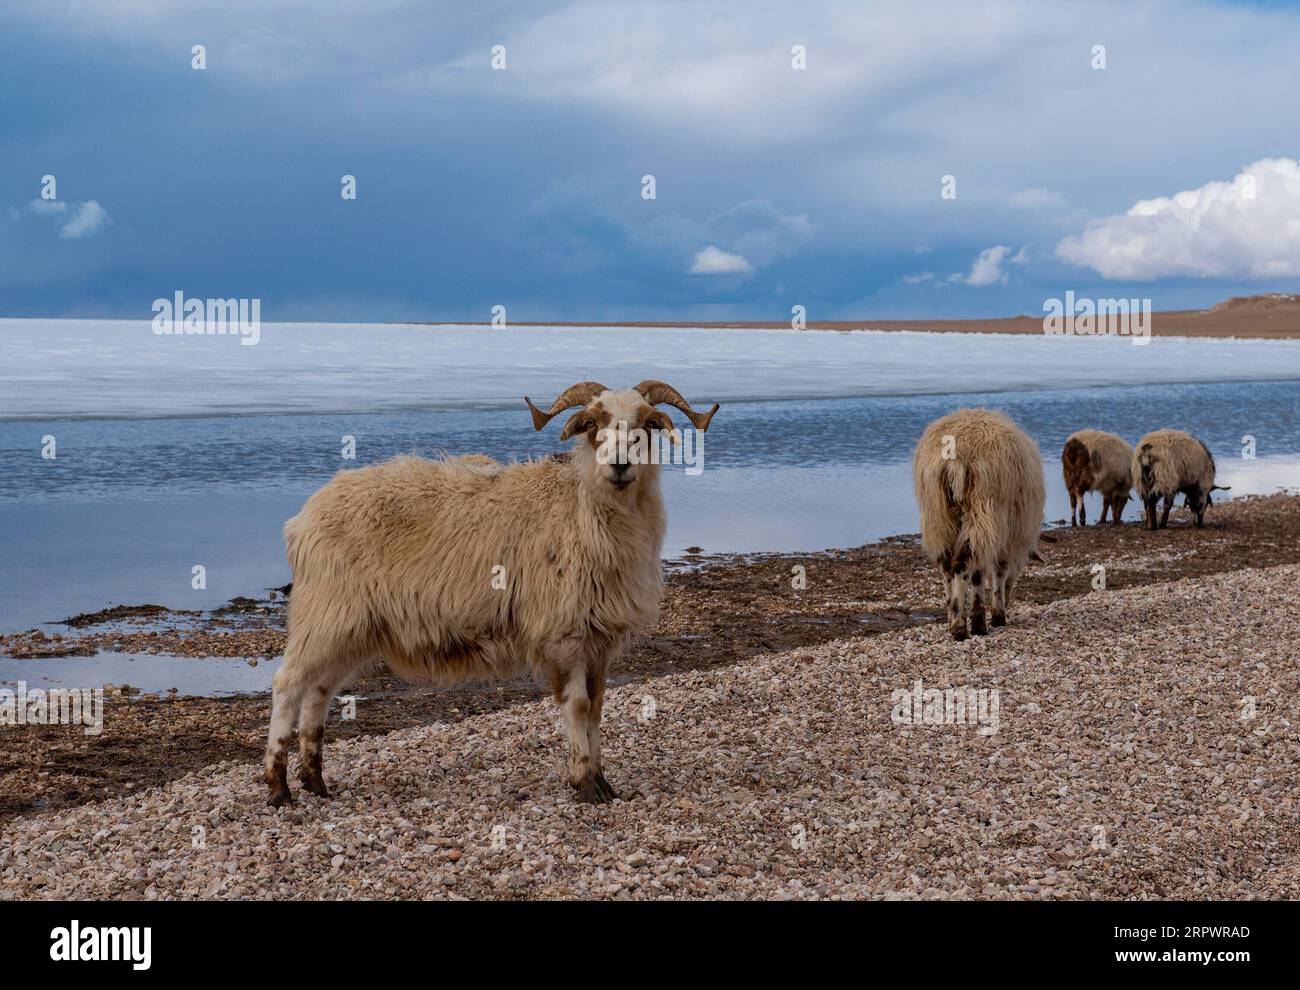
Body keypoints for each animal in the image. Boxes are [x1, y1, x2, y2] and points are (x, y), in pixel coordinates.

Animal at [263, 380, 719, 807]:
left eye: (649, 424)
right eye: (592, 424)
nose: (620, 465)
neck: (580, 510)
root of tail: (301, 519)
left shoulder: (599, 641)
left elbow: (597, 707)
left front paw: (603, 782)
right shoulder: (563, 634)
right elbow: (577, 707)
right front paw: (585, 784)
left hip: (351, 628)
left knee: (319, 691)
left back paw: (316, 782)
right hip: (324, 613)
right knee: (287, 685)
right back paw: (279, 789)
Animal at [912, 409, 1045, 640]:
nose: (1009, 600)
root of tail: (954, 458)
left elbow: (978, 575)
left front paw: (979, 617)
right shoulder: (1007, 537)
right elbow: (998, 570)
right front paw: (996, 616)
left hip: (938, 516)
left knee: (947, 567)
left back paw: (953, 617)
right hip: (984, 511)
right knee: (962, 565)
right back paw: (959, 627)